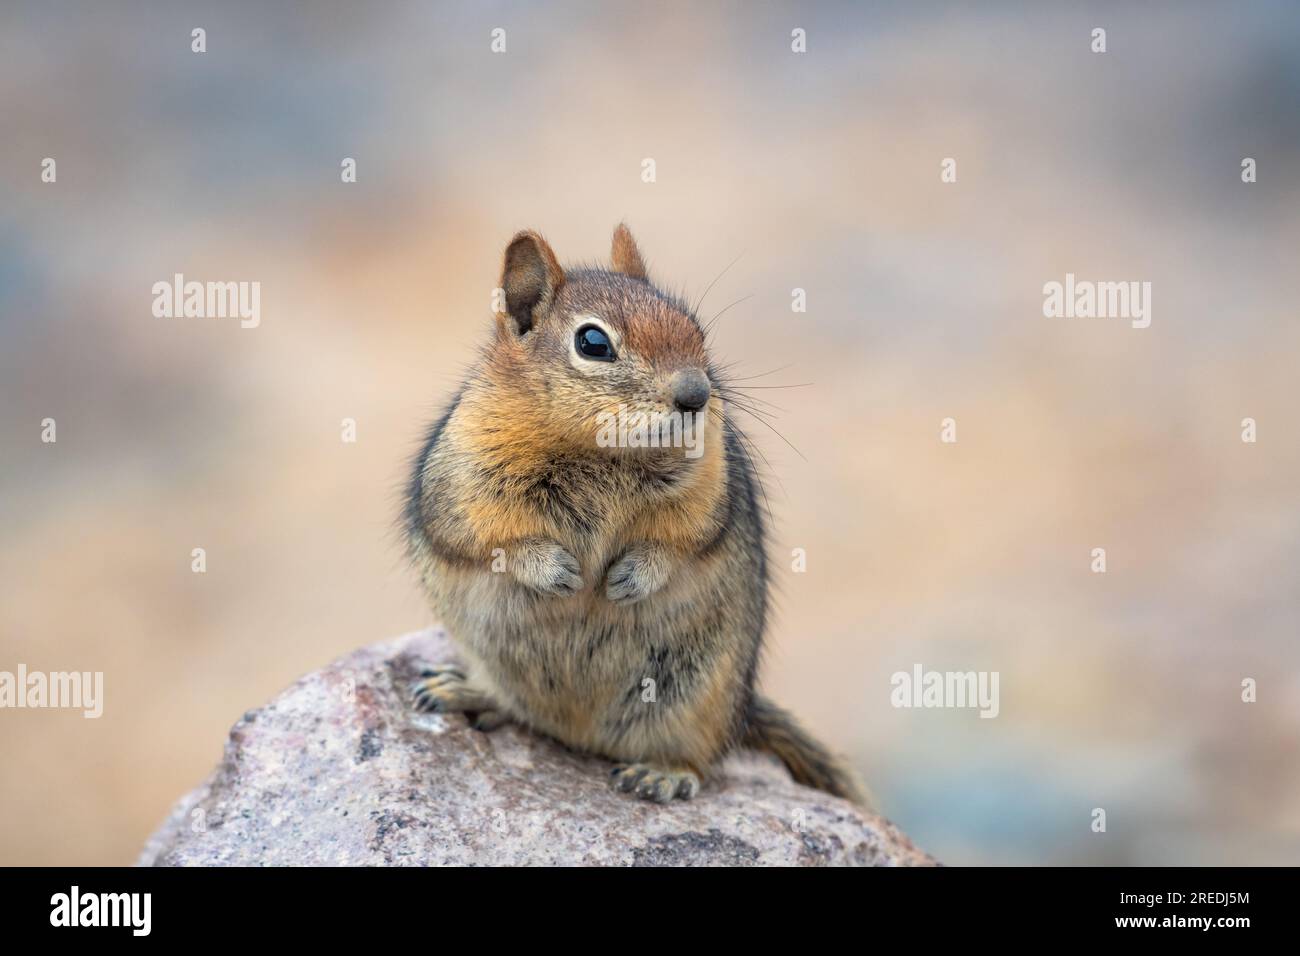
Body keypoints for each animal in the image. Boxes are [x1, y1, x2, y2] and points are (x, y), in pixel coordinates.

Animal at [404, 223, 864, 804]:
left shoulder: (705, 492)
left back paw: (661, 774)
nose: (697, 394)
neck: (604, 452)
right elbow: (488, 537)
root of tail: (576, 733)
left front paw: (630, 578)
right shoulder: (466, 484)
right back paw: (462, 690)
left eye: (694, 327)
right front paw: (555, 571)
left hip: (696, 700)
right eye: (593, 343)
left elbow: (681, 541)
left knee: (699, 760)